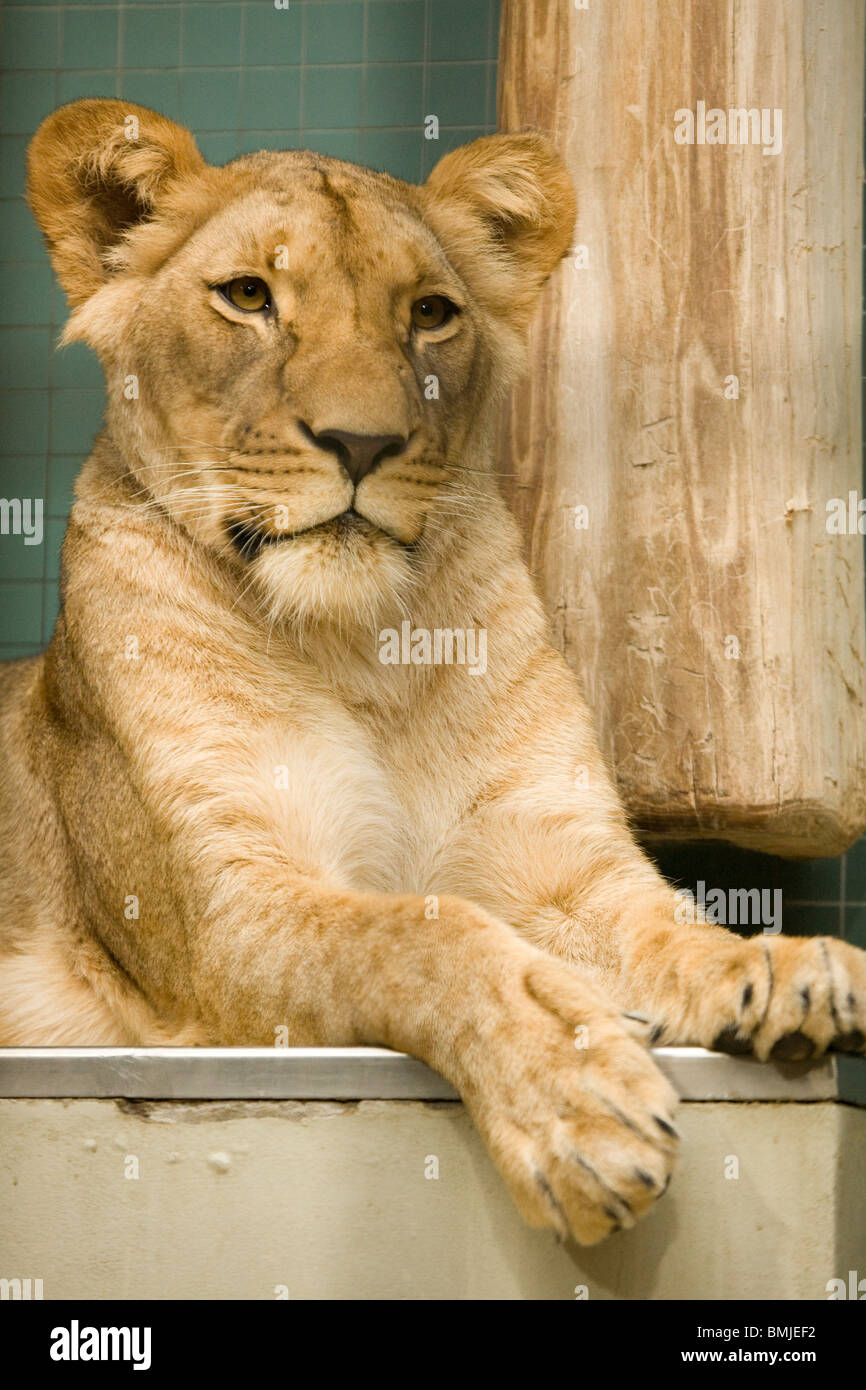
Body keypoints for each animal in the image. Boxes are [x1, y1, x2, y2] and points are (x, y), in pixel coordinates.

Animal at [1, 99, 863, 1246]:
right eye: (248, 296)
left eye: (430, 314)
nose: (361, 441)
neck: (362, 647)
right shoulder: (216, 919)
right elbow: (420, 934)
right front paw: (578, 1099)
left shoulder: (555, 860)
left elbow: (659, 924)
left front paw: (780, 966)